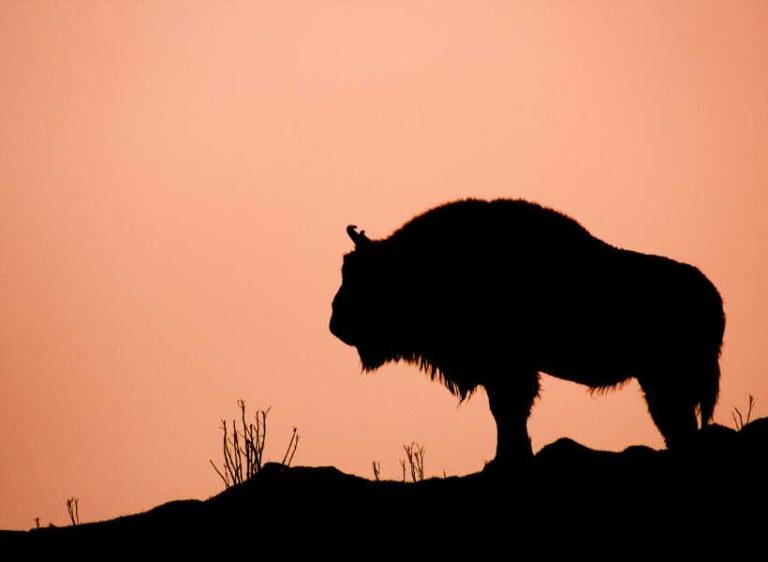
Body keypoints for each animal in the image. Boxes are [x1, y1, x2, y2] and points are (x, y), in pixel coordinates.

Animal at [330, 198, 725, 470]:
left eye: (361, 276)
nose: (335, 324)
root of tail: (712, 296)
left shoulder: (507, 368)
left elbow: (509, 410)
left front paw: (507, 460)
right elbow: (507, 412)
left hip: (665, 378)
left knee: (677, 422)